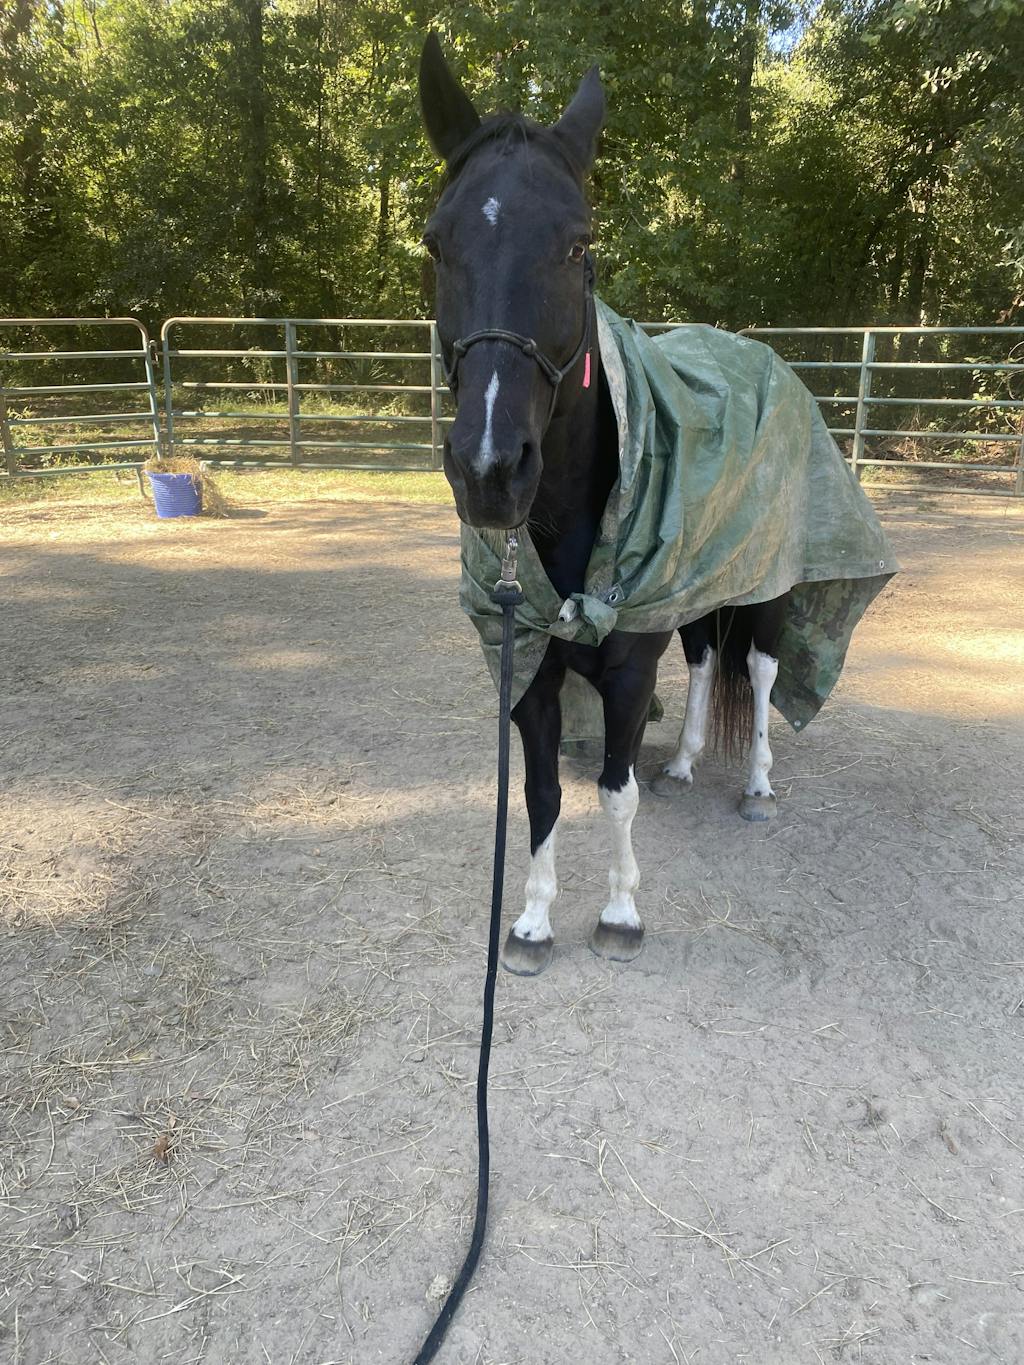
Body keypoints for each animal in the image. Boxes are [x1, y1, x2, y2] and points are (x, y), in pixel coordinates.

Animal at [418, 35, 793, 977]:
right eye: (436, 243)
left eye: (577, 243)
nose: (489, 467)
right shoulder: (528, 665)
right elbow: (542, 792)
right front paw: (530, 923)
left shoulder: (627, 666)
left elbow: (614, 791)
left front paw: (621, 912)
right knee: (706, 661)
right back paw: (687, 765)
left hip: (769, 588)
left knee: (760, 670)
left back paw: (759, 785)